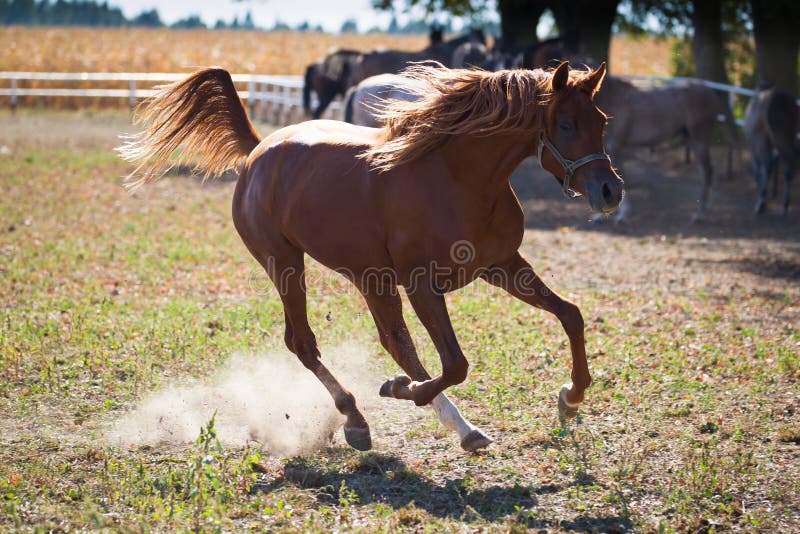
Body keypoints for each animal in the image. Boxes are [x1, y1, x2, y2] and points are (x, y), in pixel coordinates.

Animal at [118, 61, 623, 452]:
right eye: (565, 125)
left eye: (601, 120)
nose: (610, 192)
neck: (458, 178)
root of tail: (259, 149)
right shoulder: (422, 284)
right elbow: (455, 364)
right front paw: (401, 391)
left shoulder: (503, 266)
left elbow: (571, 315)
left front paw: (570, 398)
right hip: (286, 264)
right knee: (305, 343)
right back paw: (359, 419)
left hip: (371, 277)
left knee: (395, 341)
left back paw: (456, 427)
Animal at [594, 76, 739, 223]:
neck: (613, 98)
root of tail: (710, 90)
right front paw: (599, 216)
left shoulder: (616, 147)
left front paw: (622, 216)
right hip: (691, 139)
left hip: (699, 139)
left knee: (707, 171)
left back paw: (699, 214)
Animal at [744, 86, 797, 215]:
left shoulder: (755, 148)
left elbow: (760, 171)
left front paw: (761, 199)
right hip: (787, 138)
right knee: (789, 167)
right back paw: (784, 205)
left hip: (765, 141)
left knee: (769, 166)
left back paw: (762, 204)